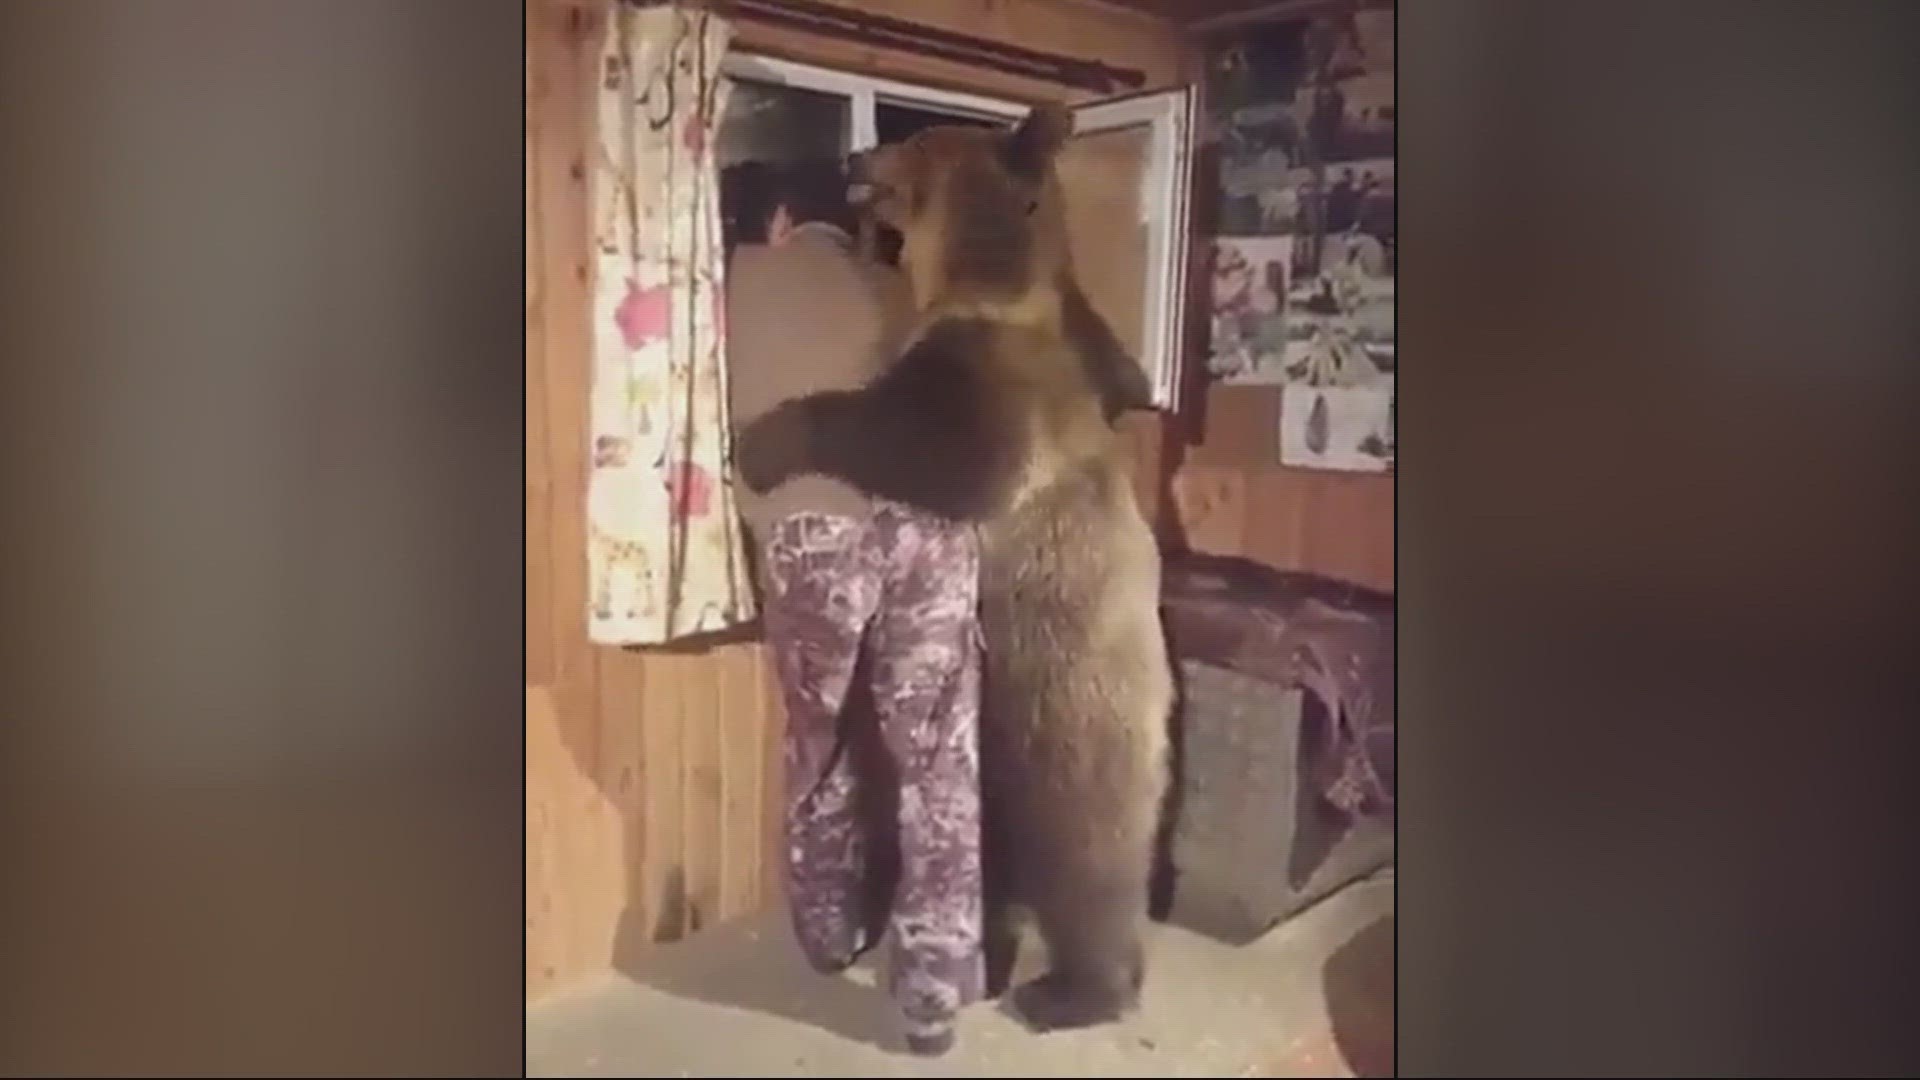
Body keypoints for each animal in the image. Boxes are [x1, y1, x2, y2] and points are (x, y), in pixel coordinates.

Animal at [733, 102, 1174, 1035]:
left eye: (912, 141)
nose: (856, 158)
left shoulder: (995, 390)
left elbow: (928, 445)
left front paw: (766, 439)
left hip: (1069, 726)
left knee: (1085, 864)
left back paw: (1070, 990)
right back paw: (992, 957)